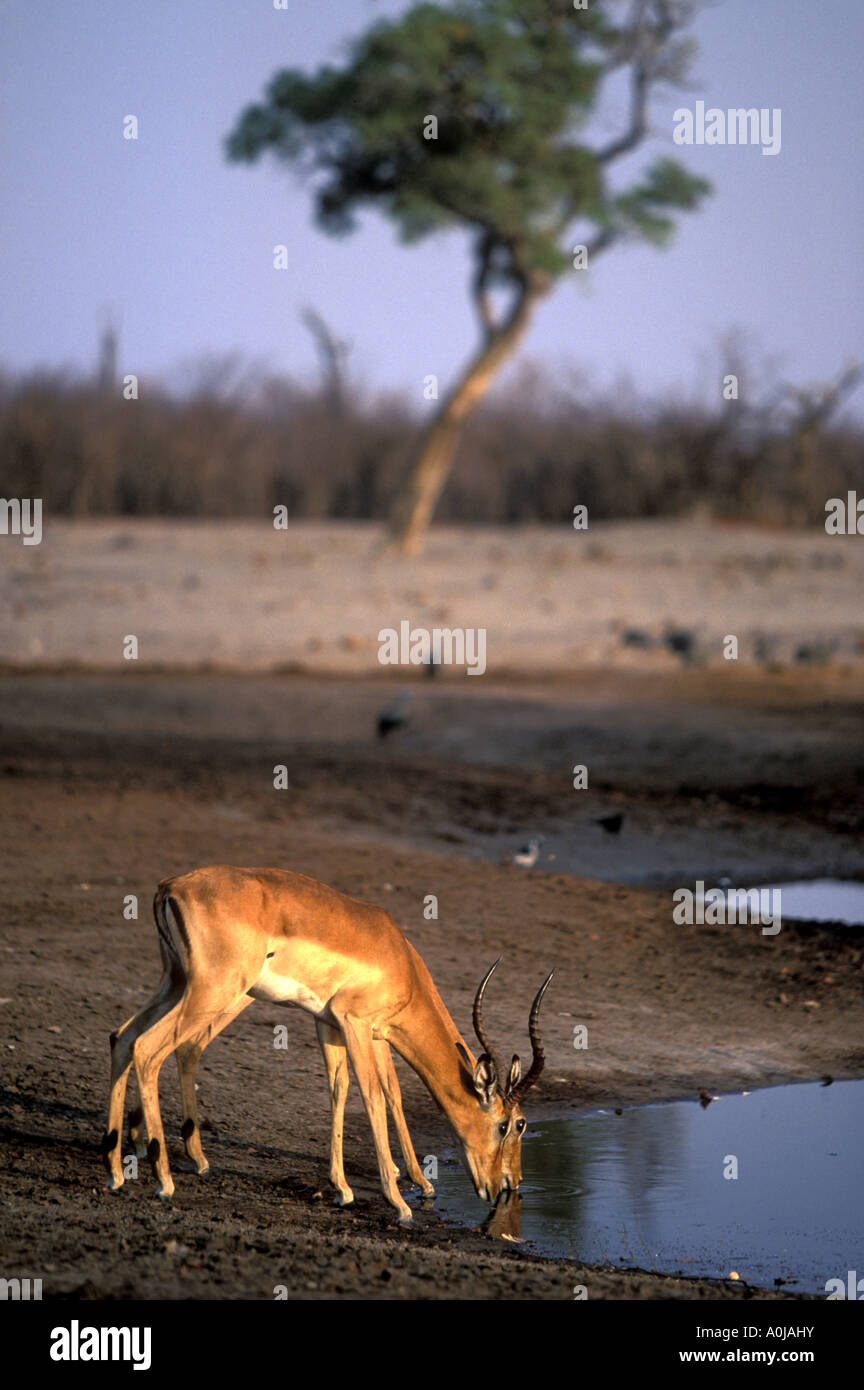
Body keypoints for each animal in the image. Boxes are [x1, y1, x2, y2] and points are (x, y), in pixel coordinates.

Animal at [103, 866, 554, 1224]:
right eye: (513, 1123)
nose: (509, 1185)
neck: (401, 960)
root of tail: (171, 886)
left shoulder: (340, 1026)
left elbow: (352, 1090)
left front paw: (349, 1189)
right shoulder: (357, 1024)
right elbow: (372, 1095)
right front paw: (399, 1202)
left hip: (176, 983)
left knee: (122, 1037)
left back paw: (117, 1169)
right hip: (214, 991)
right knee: (151, 1049)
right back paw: (165, 1179)